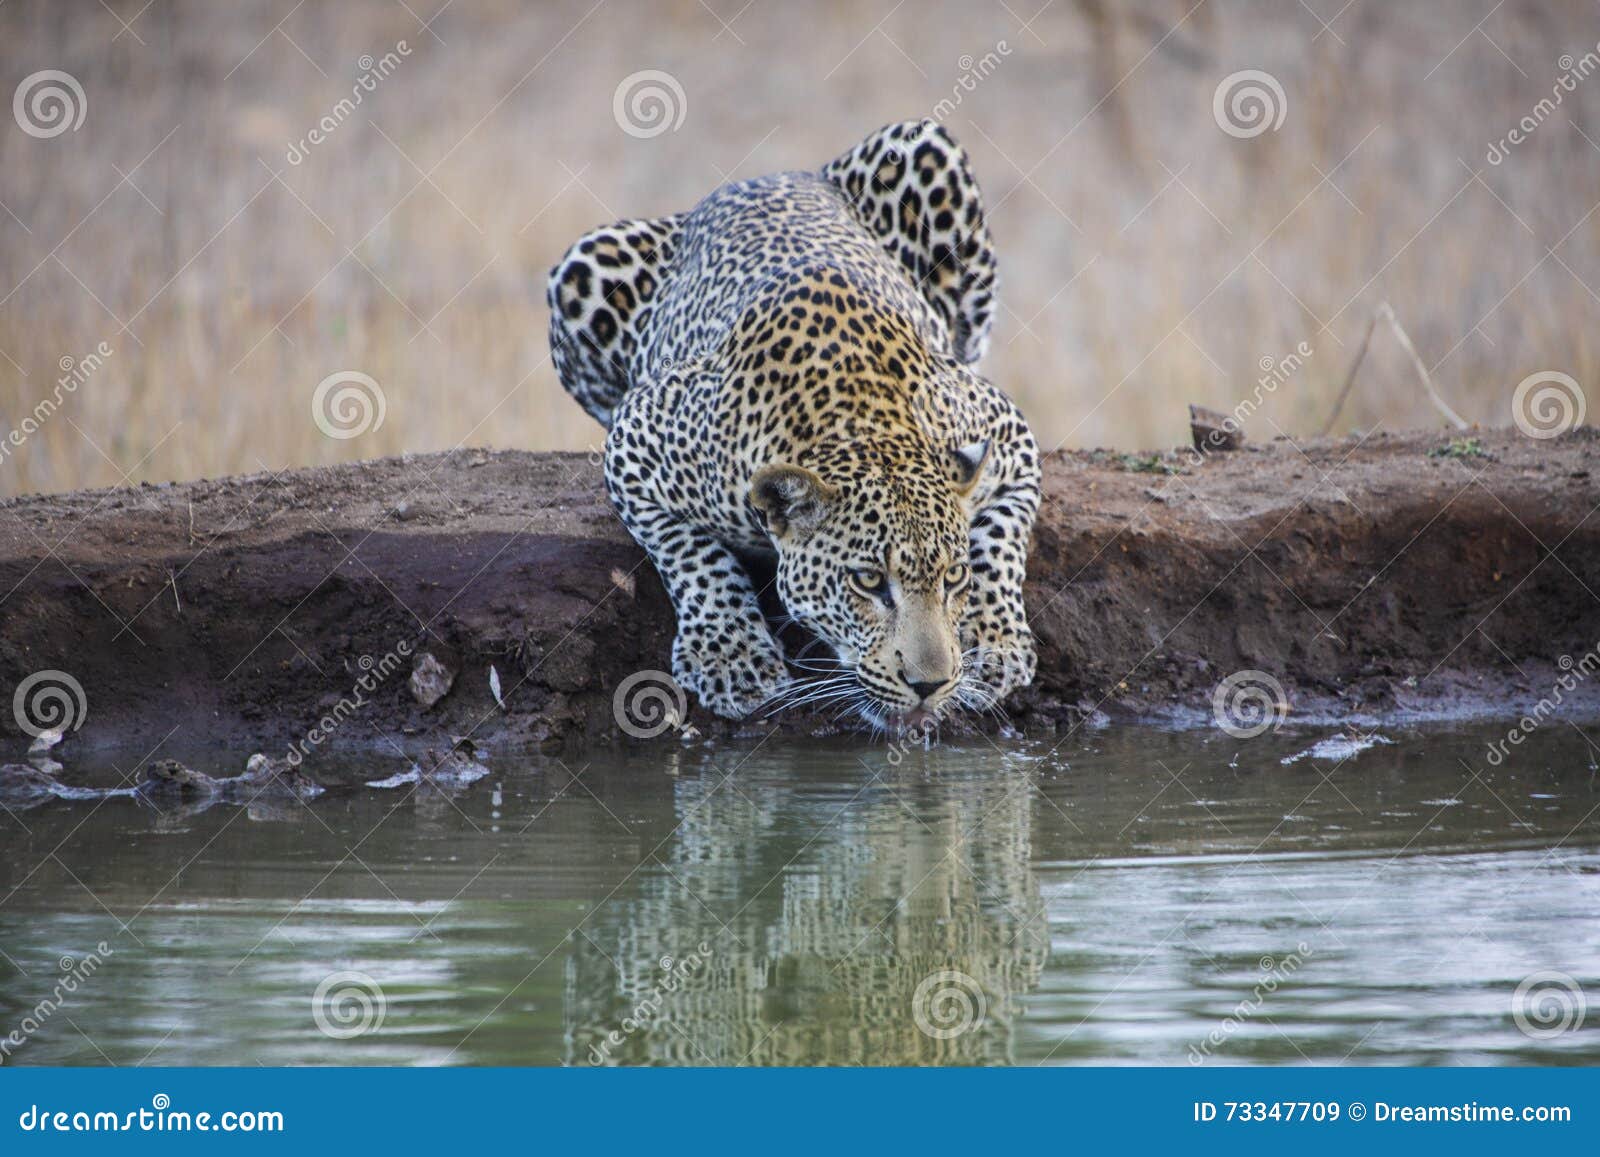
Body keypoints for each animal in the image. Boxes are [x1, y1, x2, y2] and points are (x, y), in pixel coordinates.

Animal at [547, 119, 1040, 728]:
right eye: (868, 581)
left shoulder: (1006, 432)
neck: (861, 419)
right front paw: (730, 656)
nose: (931, 684)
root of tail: (771, 175)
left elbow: (1003, 541)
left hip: (924, 146)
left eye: (952, 577)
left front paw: (996, 644)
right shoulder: (636, 439)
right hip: (583, 266)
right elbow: (690, 552)